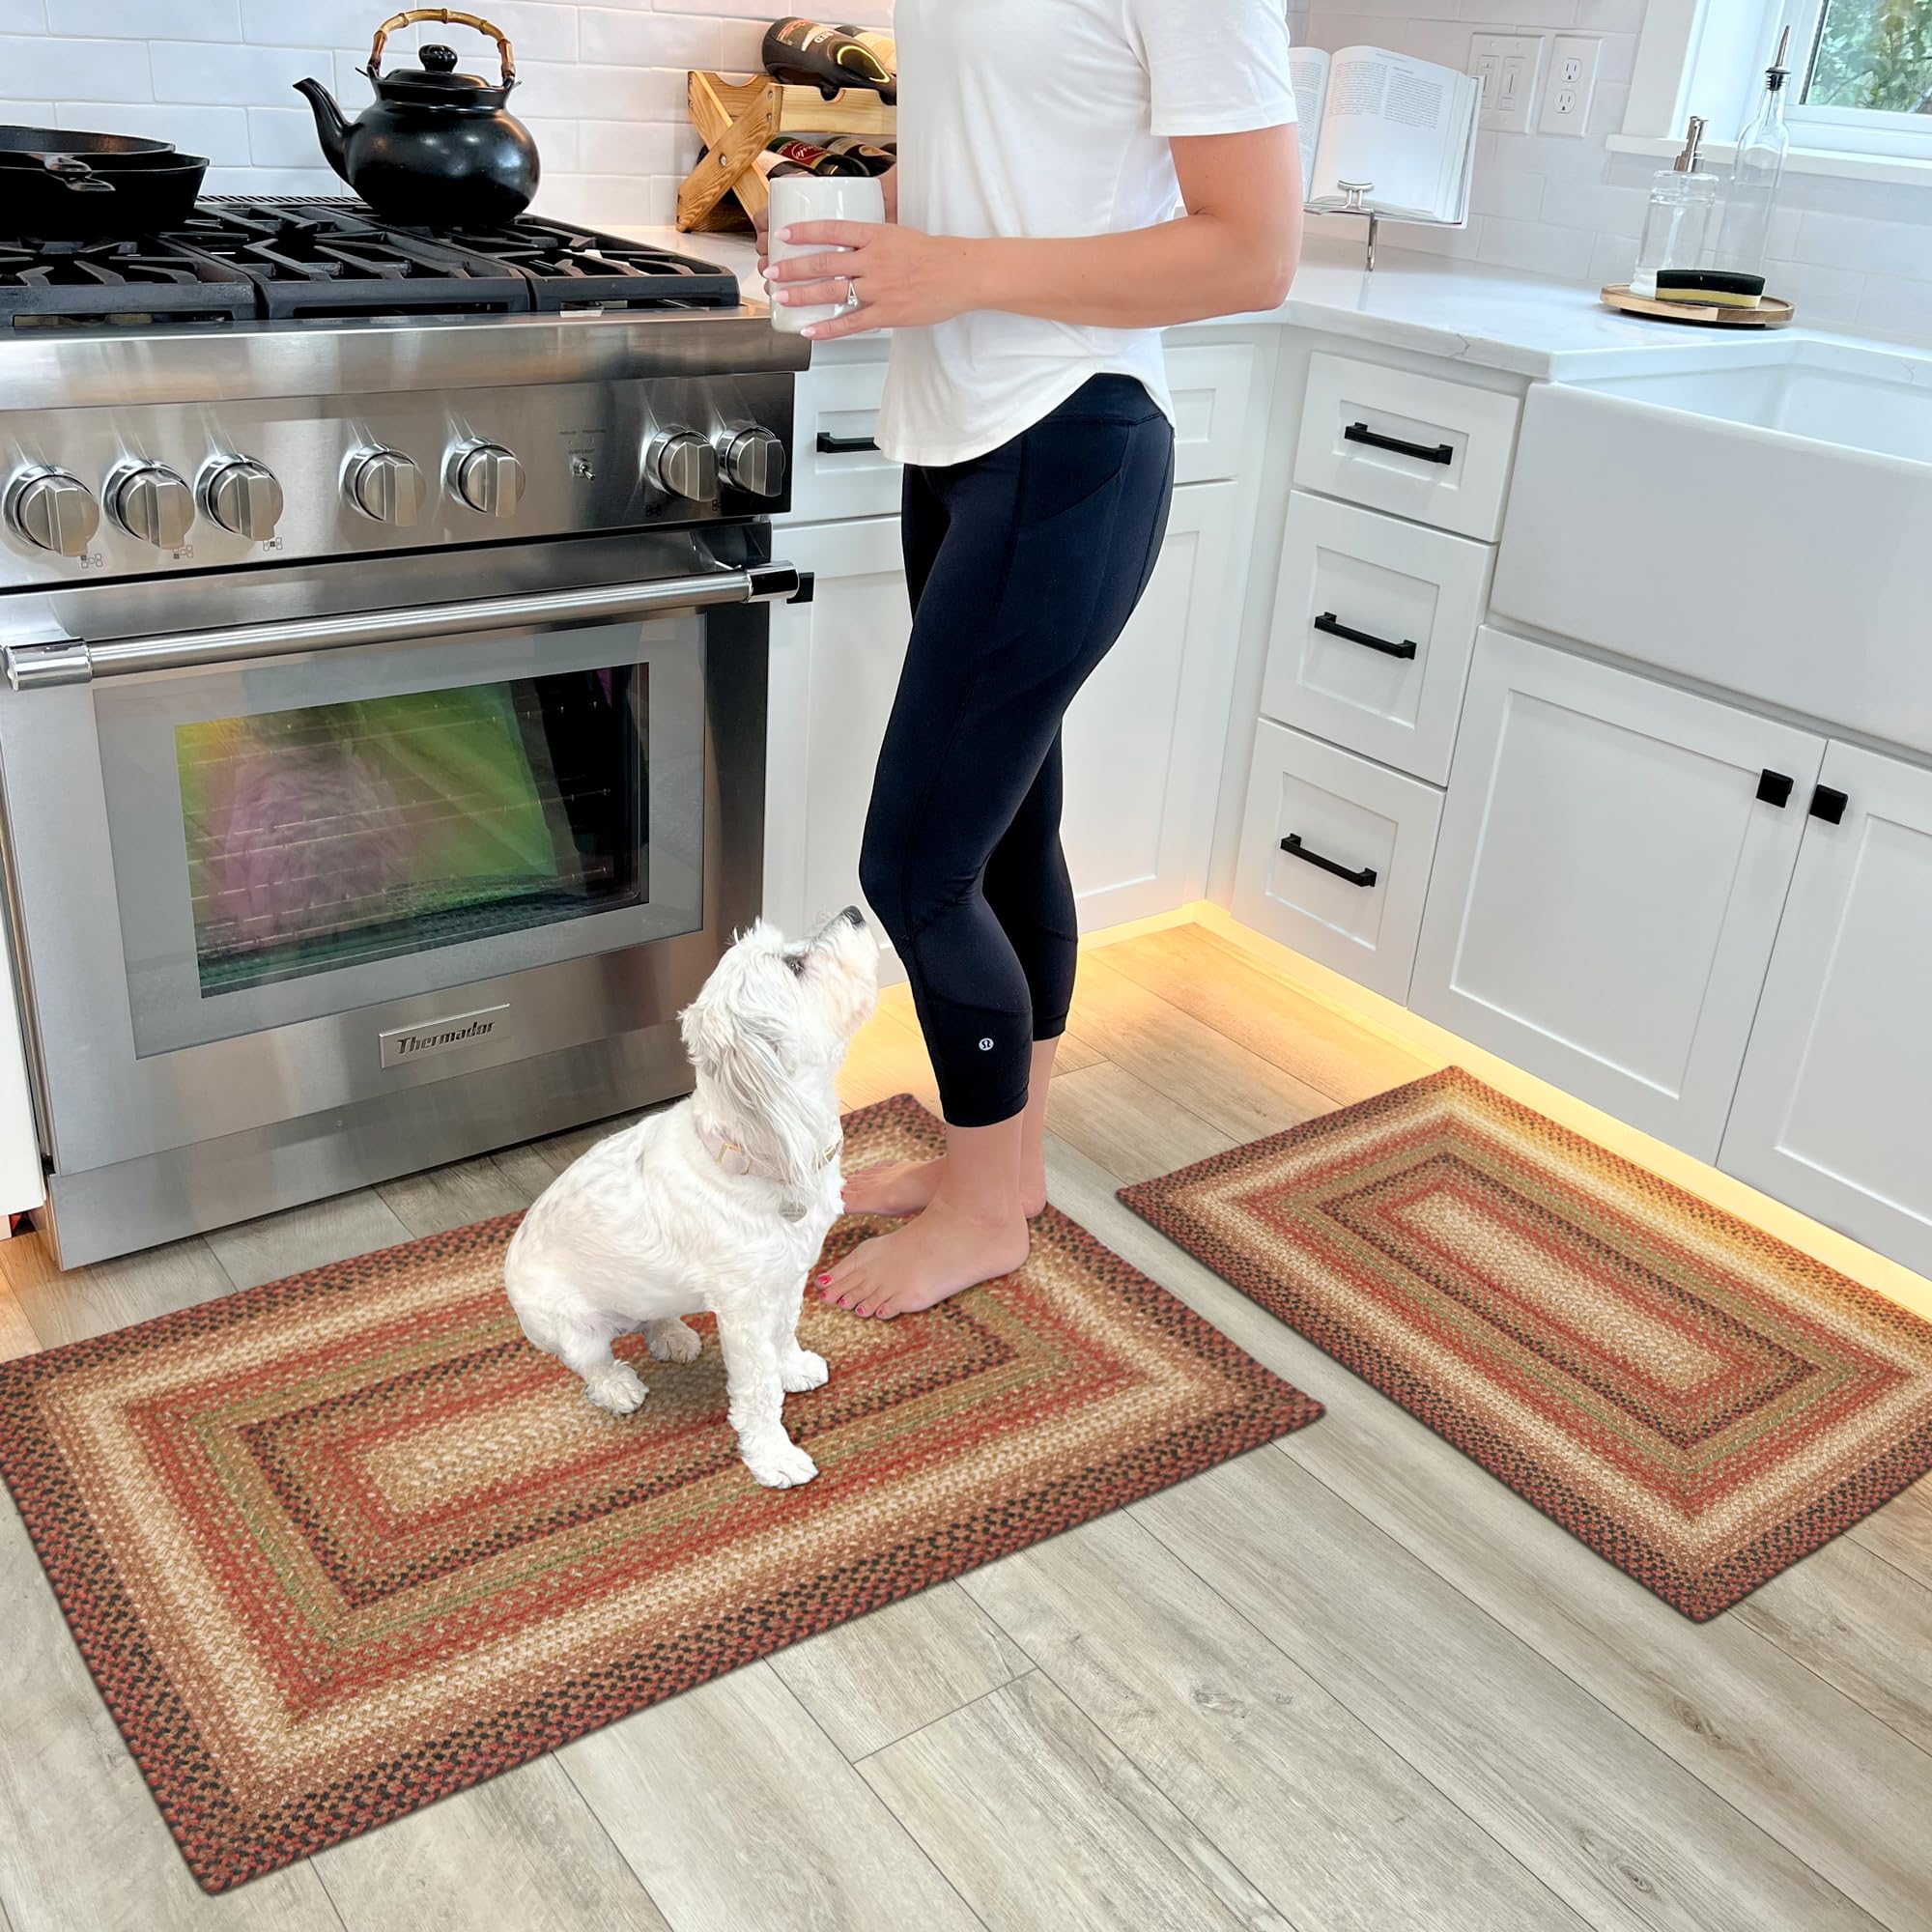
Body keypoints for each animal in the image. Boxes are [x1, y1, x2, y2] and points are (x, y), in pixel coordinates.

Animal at [506, 908, 885, 1492]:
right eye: (794, 965)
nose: (854, 911)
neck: (759, 1154)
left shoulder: (789, 1277)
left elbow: (785, 1331)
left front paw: (793, 1365)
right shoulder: (744, 1311)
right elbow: (758, 1390)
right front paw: (773, 1455)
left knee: (648, 1316)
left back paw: (670, 1333)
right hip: (571, 1324)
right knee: (593, 1361)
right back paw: (617, 1385)